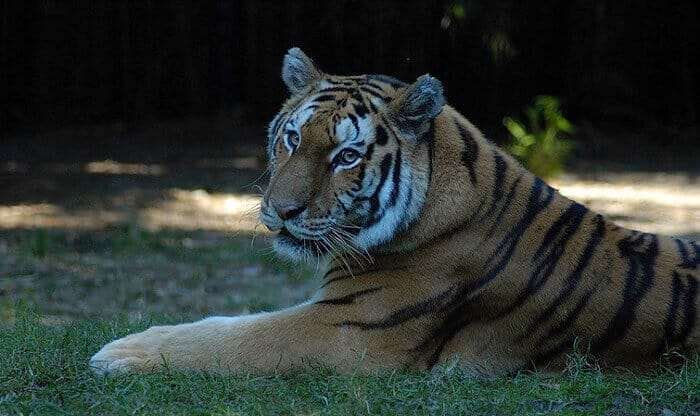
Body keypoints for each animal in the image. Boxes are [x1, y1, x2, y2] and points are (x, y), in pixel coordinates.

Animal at [90, 47, 699, 376]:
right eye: (292, 139)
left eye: (347, 156)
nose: (281, 211)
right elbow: (223, 323)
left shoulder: (345, 329)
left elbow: (236, 340)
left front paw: (120, 352)